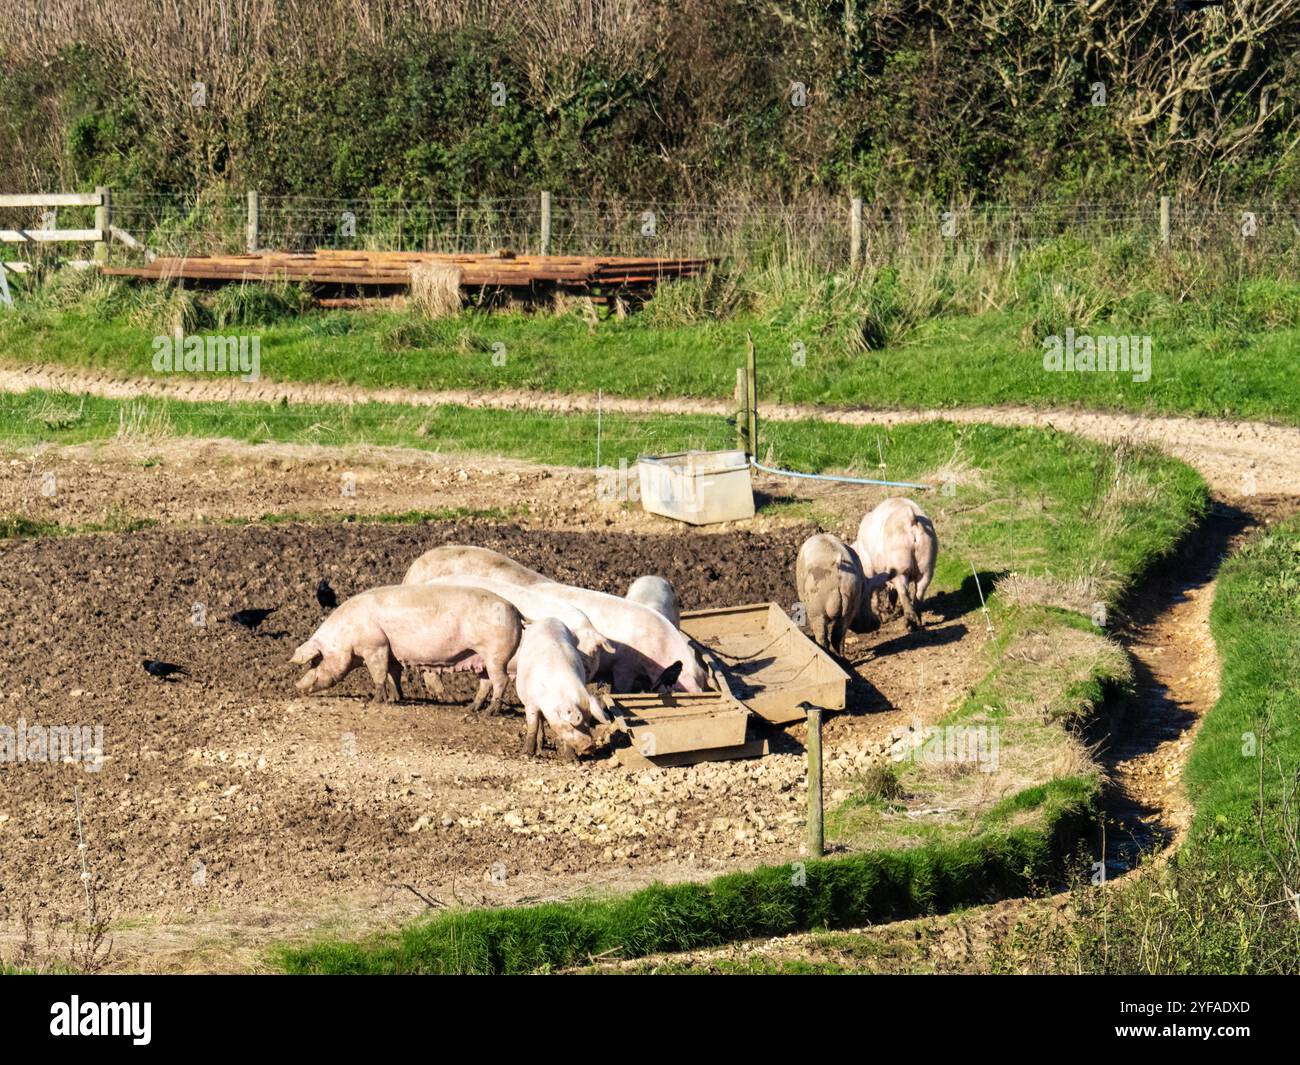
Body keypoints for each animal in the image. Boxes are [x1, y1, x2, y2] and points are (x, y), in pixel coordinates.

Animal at [289, 584, 521, 714]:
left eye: (316, 661)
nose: (297, 686)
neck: (346, 632)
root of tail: (514, 609)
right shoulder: (392, 653)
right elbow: (393, 675)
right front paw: (396, 699)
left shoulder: (376, 646)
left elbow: (379, 674)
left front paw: (376, 700)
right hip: (481, 658)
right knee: (486, 682)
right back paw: (472, 708)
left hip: (496, 654)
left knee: (500, 680)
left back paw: (490, 711)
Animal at [514, 618, 607, 760]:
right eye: (571, 725)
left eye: (589, 720)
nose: (590, 746)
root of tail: (549, 618)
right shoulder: (531, 703)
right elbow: (533, 726)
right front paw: (526, 754)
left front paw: (573, 761)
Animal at [852, 498, 939, 630]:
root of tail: (911, 519)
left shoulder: (868, 566)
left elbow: (874, 592)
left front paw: (881, 618)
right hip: (928, 559)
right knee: (919, 592)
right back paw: (919, 622)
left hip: (899, 562)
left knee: (904, 592)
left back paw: (910, 625)